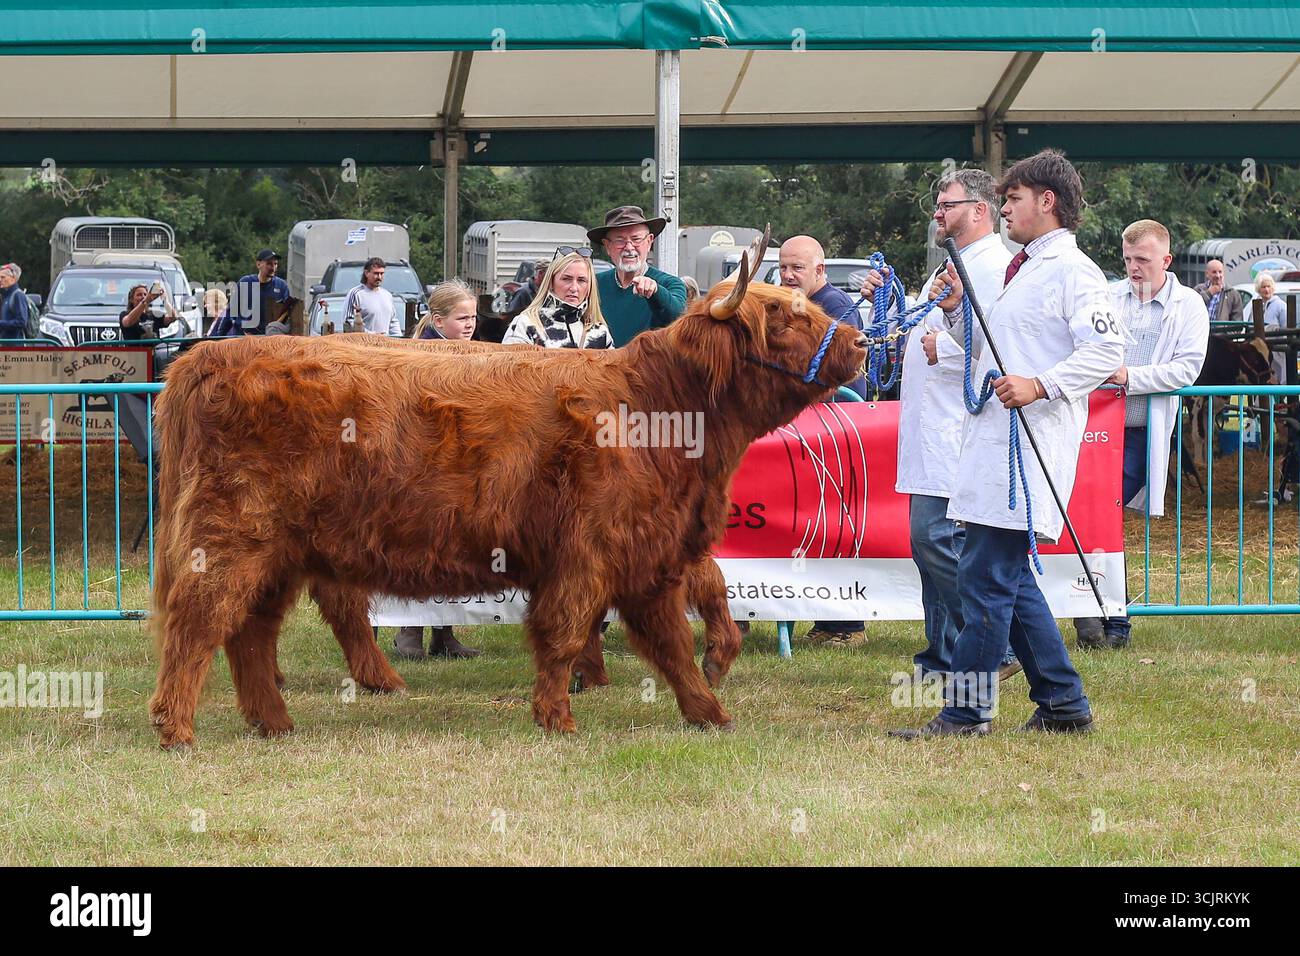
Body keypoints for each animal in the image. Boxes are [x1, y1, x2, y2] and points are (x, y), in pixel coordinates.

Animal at [148, 234, 868, 748]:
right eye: (780, 315)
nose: (862, 341)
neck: (661, 407)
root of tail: (208, 356)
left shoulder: (651, 553)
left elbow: (674, 642)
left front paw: (709, 709)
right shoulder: (587, 554)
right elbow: (565, 632)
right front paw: (557, 717)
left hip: (282, 554)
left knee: (252, 632)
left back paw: (274, 721)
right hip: (233, 537)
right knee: (200, 621)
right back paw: (177, 728)